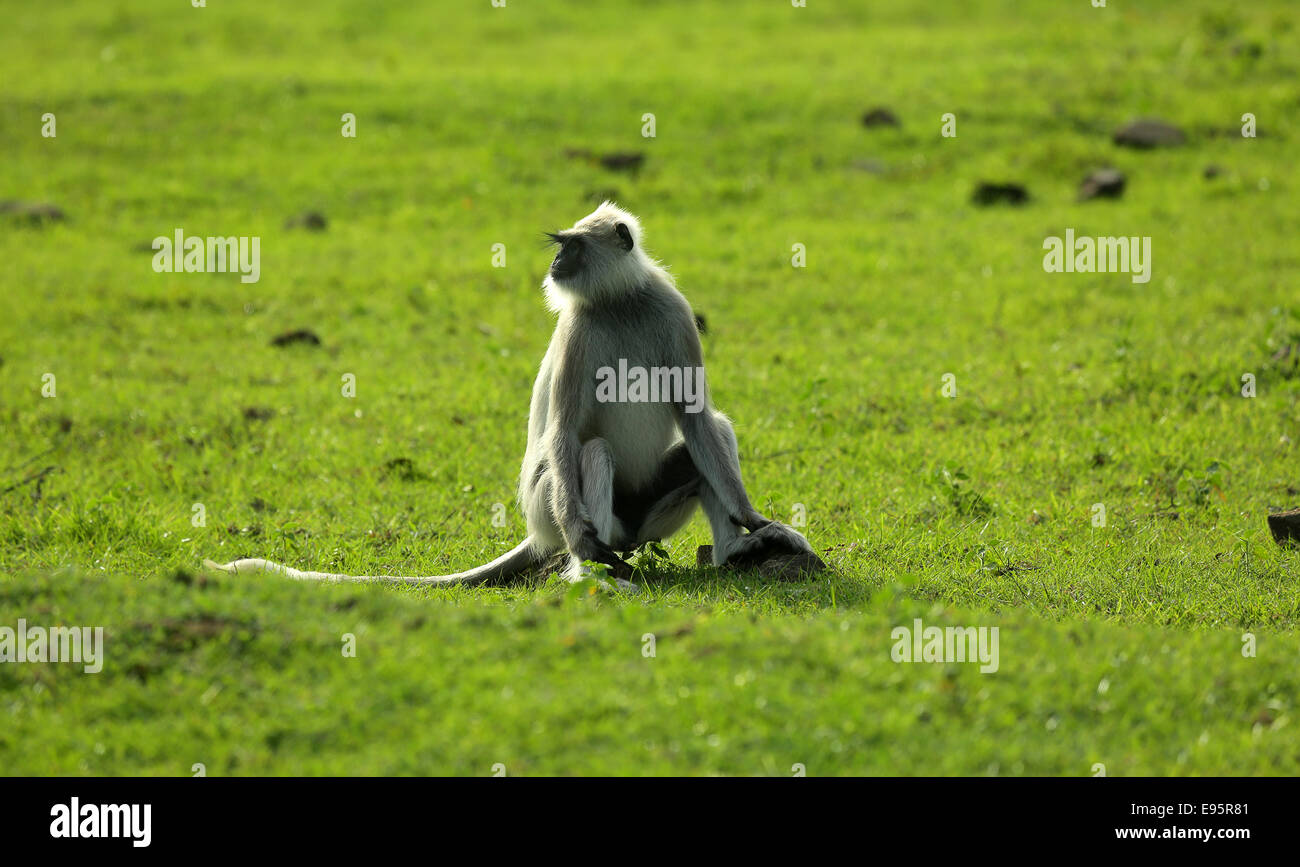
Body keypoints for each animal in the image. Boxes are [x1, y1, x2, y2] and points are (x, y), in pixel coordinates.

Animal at [205, 202, 814, 591]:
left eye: (572, 248)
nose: (554, 264)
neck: (618, 303)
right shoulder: (576, 331)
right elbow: (564, 429)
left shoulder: (674, 312)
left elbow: (695, 416)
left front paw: (754, 521)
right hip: (560, 510)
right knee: (592, 454)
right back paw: (590, 571)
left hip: (647, 520)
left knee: (712, 432)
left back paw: (733, 550)